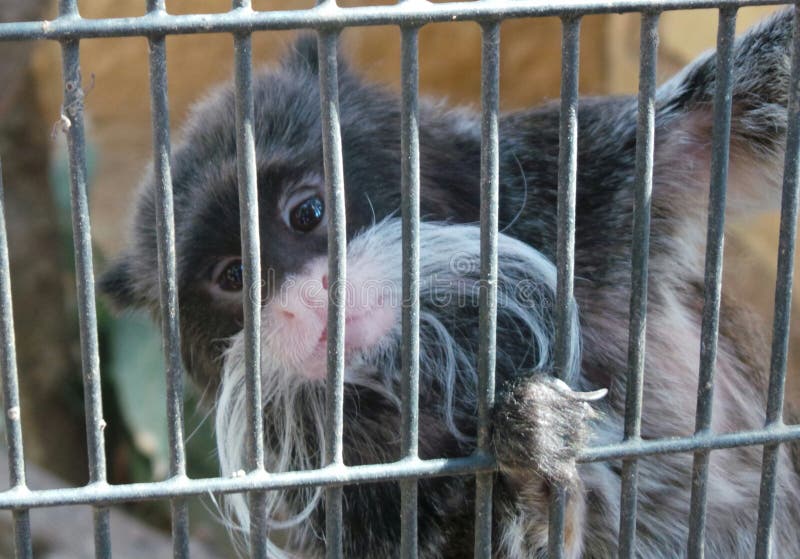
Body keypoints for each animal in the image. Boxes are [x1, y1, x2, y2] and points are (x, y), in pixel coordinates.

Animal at [100, 9, 800, 558]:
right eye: (235, 277)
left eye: (307, 213)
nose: (303, 301)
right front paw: (536, 461)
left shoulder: (589, 179)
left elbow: (727, 115)